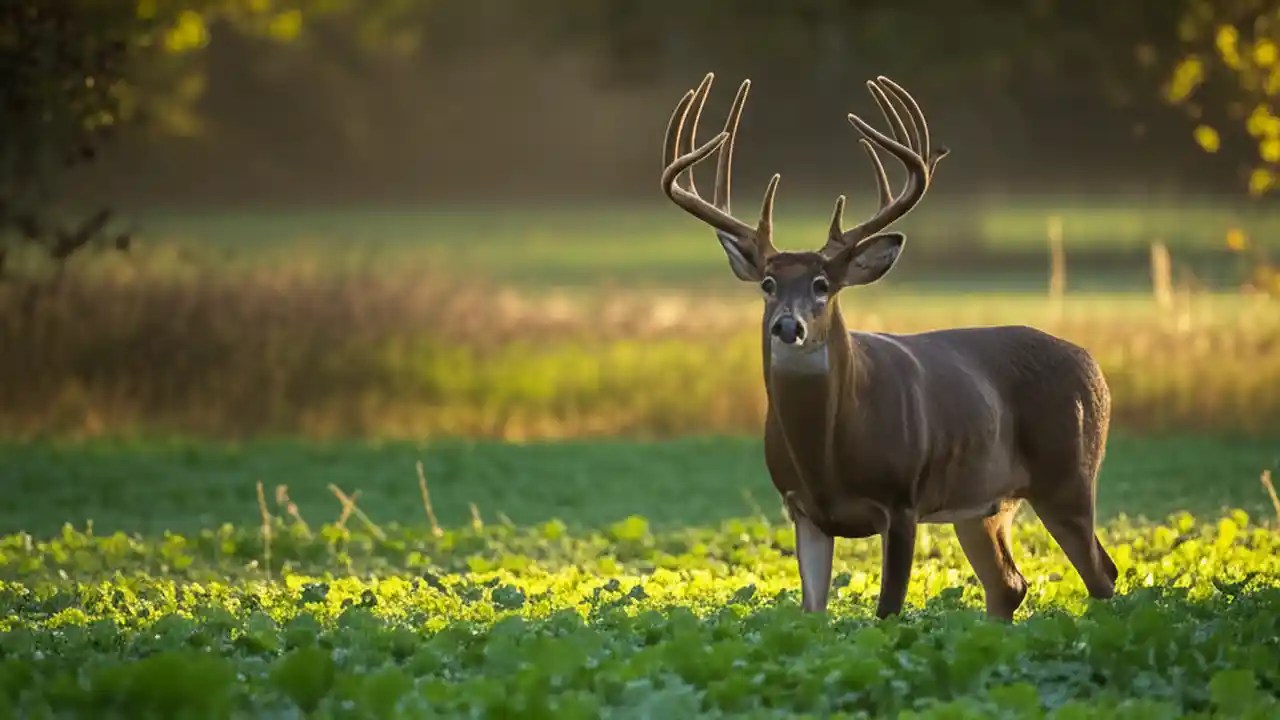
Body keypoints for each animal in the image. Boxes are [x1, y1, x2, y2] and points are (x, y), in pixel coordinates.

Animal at [659, 73, 1119, 621]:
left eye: (822, 285)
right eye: (768, 284)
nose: (788, 327)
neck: (827, 460)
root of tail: (1094, 364)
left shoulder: (902, 500)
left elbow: (888, 612)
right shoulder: (801, 510)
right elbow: (811, 613)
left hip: (1069, 476)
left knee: (1103, 574)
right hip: (984, 504)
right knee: (1009, 584)